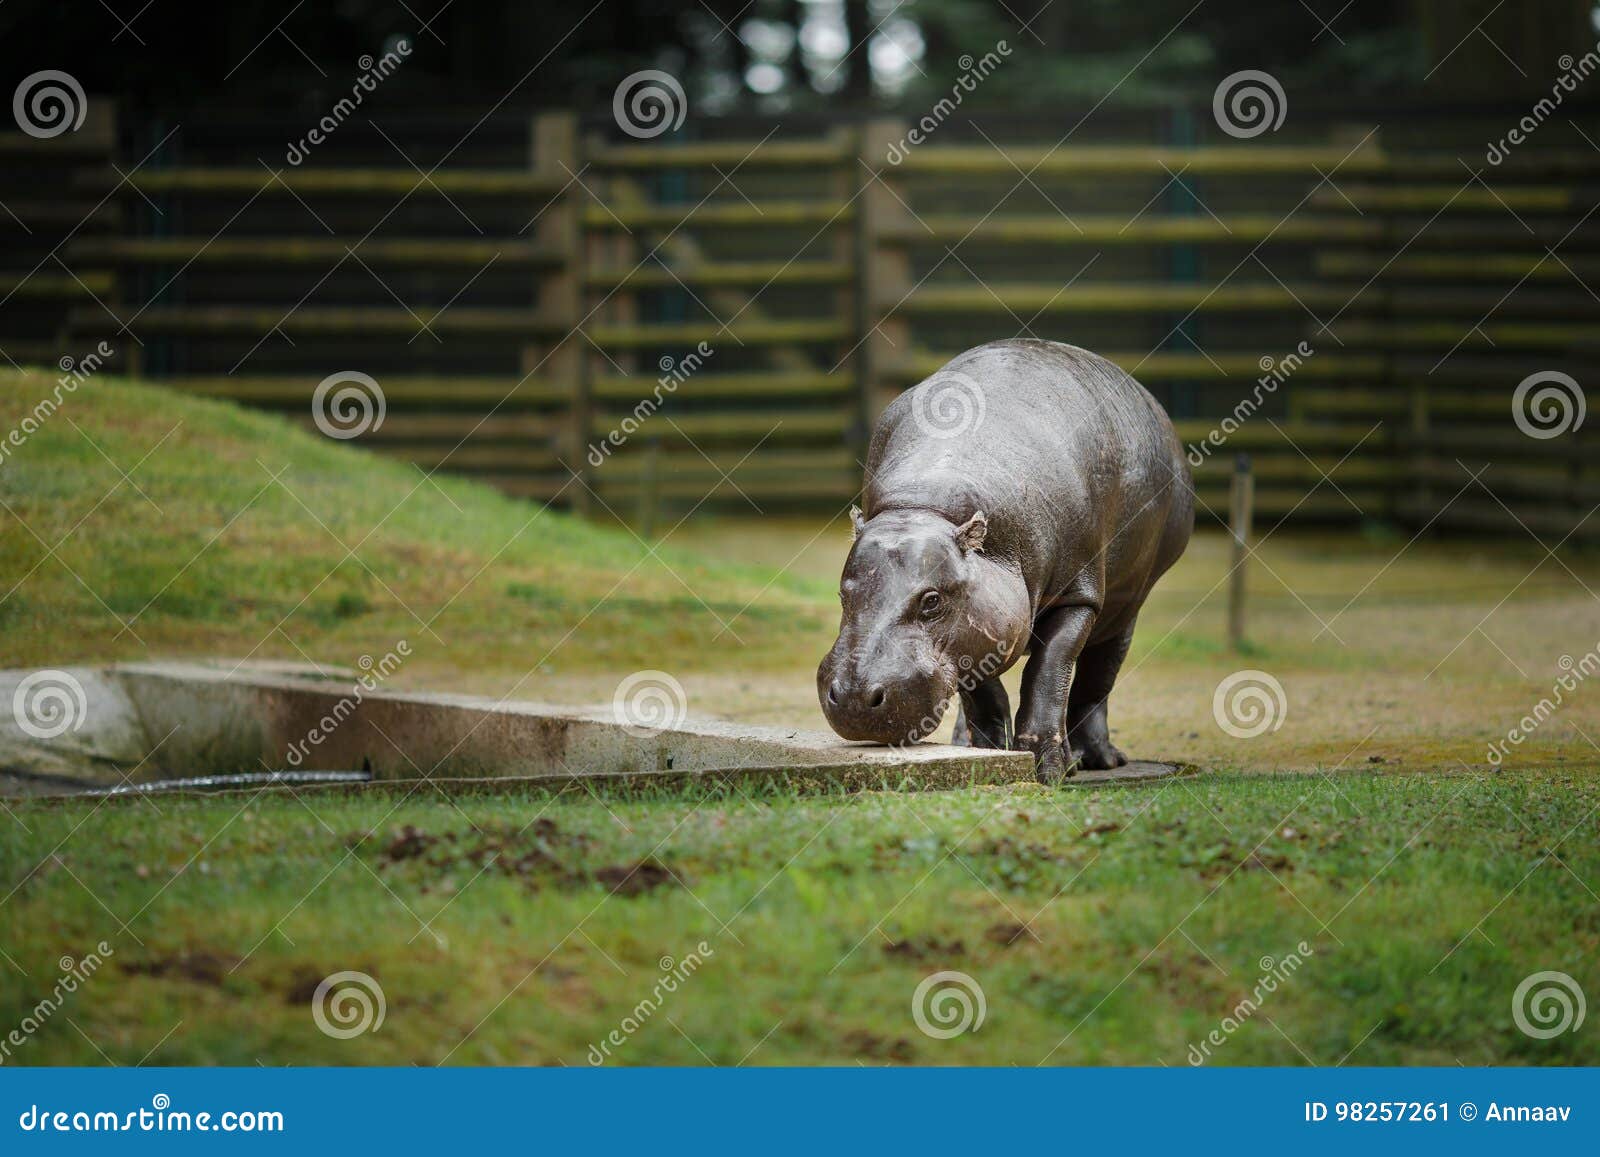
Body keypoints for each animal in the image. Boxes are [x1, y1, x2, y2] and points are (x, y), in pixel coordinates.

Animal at [817, 338, 1193, 782]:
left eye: (932, 601)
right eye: (843, 593)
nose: (855, 697)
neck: (923, 508)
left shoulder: (1077, 596)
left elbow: (1048, 673)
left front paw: (1047, 767)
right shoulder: (977, 611)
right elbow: (979, 686)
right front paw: (989, 751)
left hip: (1126, 603)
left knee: (1095, 680)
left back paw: (1097, 759)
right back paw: (966, 744)